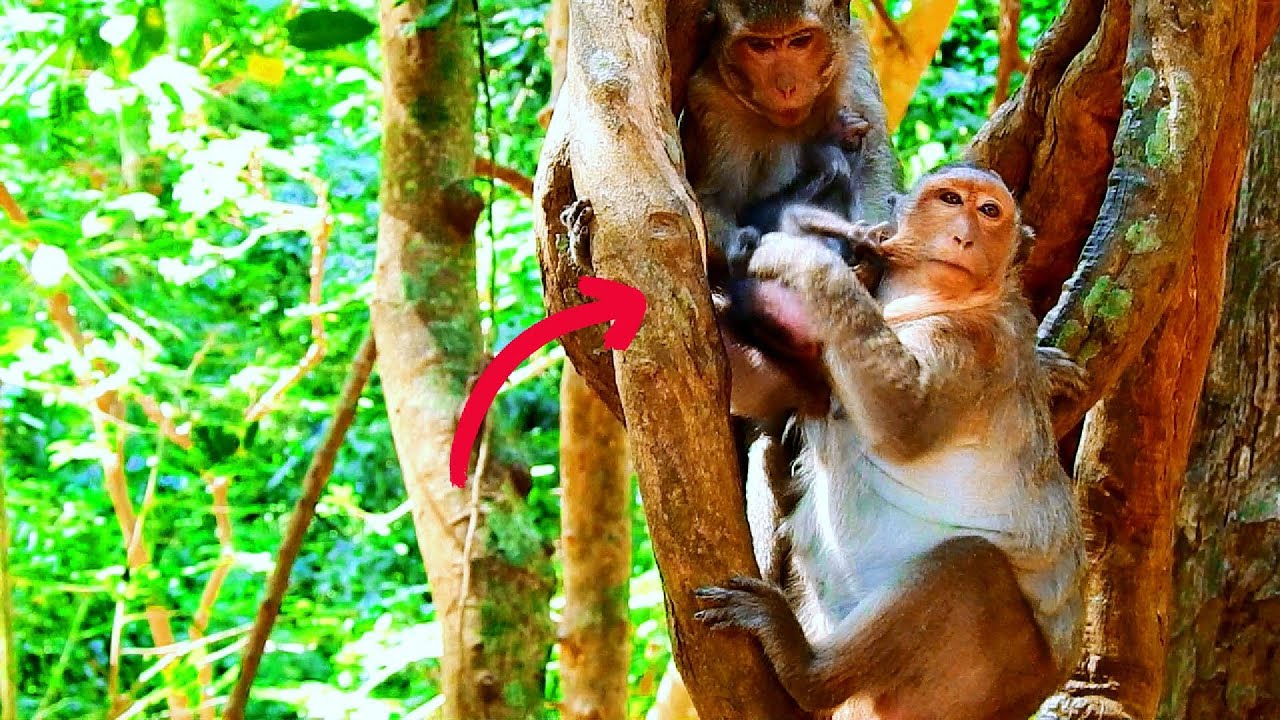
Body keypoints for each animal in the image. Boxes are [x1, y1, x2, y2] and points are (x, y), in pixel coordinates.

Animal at [695, 166, 1087, 720]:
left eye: (989, 211)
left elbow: (906, 420)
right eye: (950, 200)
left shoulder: (977, 345)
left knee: (968, 562)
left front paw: (793, 253)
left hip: (991, 676)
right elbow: (744, 382)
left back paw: (806, 670)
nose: (963, 236)